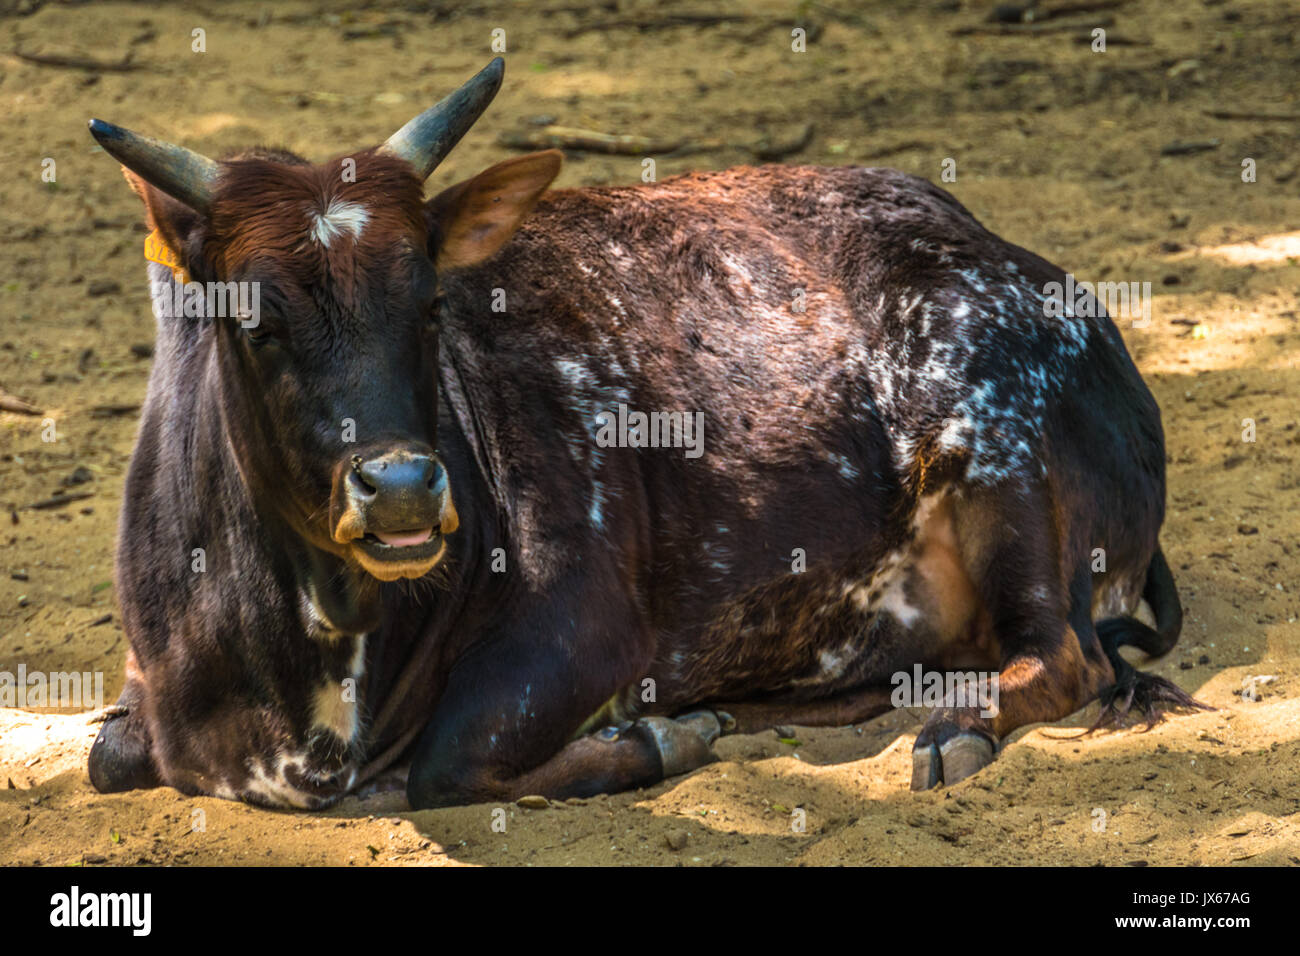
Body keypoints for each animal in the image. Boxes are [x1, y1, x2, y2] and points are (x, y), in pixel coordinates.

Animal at [86, 58, 1203, 810]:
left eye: (430, 304)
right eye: (254, 319)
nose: (401, 489)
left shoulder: (581, 621)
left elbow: (447, 760)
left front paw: (661, 740)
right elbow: (106, 755)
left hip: (995, 456)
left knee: (1064, 656)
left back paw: (953, 728)